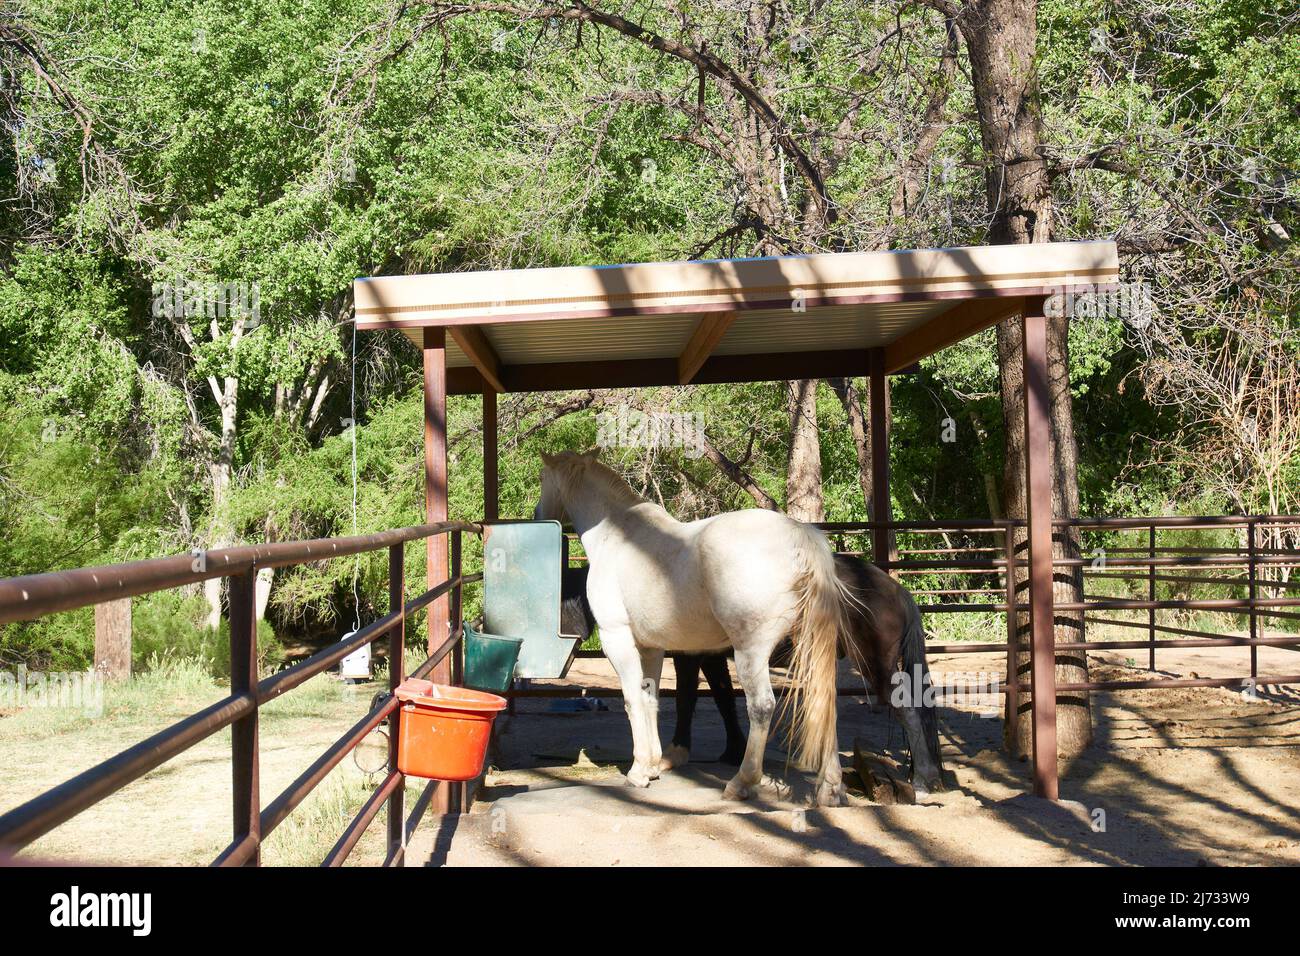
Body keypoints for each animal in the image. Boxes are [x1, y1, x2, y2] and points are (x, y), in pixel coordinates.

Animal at [535, 449, 850, 806]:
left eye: (543, 477)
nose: (537, 514)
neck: (615, 536)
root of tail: (800, 538)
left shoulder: (618, 639)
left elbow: (632, 699)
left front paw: (638, 771)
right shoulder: (652, 648)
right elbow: (651, 698)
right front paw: (653, 766)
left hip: (751, 652)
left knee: (761, 707)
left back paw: (742, 782)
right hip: (807, 645)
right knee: (823, 700)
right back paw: (830, 787)